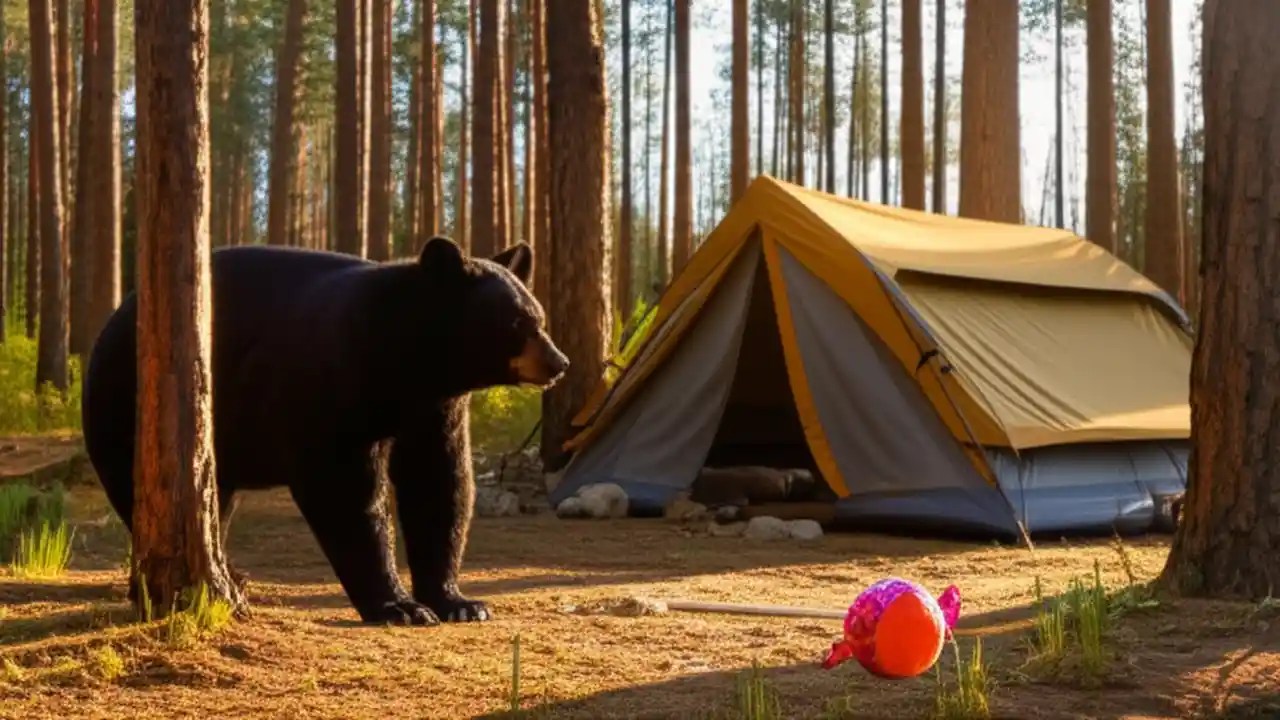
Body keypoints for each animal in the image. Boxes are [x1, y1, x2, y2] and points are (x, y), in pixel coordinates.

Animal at [81, 237, 568, 626]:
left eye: (540, 317)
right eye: (518, 323)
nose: (558, 362)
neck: (408, 360)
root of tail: (116, 315)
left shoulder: (434, 408)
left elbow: (438, 484)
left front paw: (459, 602)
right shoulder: (331, 381)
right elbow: (345, 489)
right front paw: (399, 606)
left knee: (218, 498)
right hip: (127, 401)